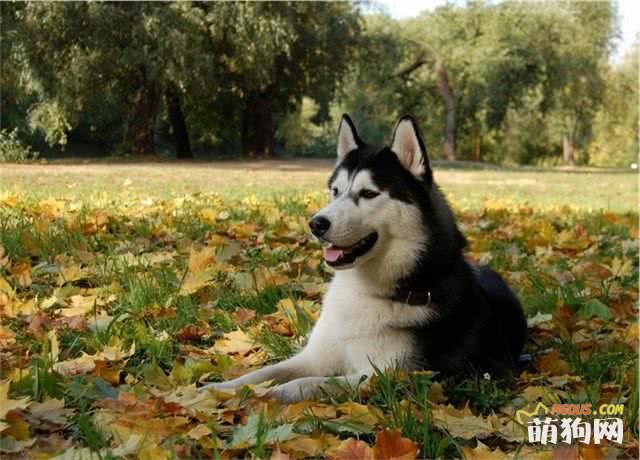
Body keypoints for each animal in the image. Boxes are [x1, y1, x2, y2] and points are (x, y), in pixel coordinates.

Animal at [202, 116, 528, 402]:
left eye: (369, 193)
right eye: (335, 191)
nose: (316, 224)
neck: (367, 291)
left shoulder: (393, 376)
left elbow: (313, 383)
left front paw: (274, 394)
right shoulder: (315, 357)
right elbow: (262, 373)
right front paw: (217, 389)